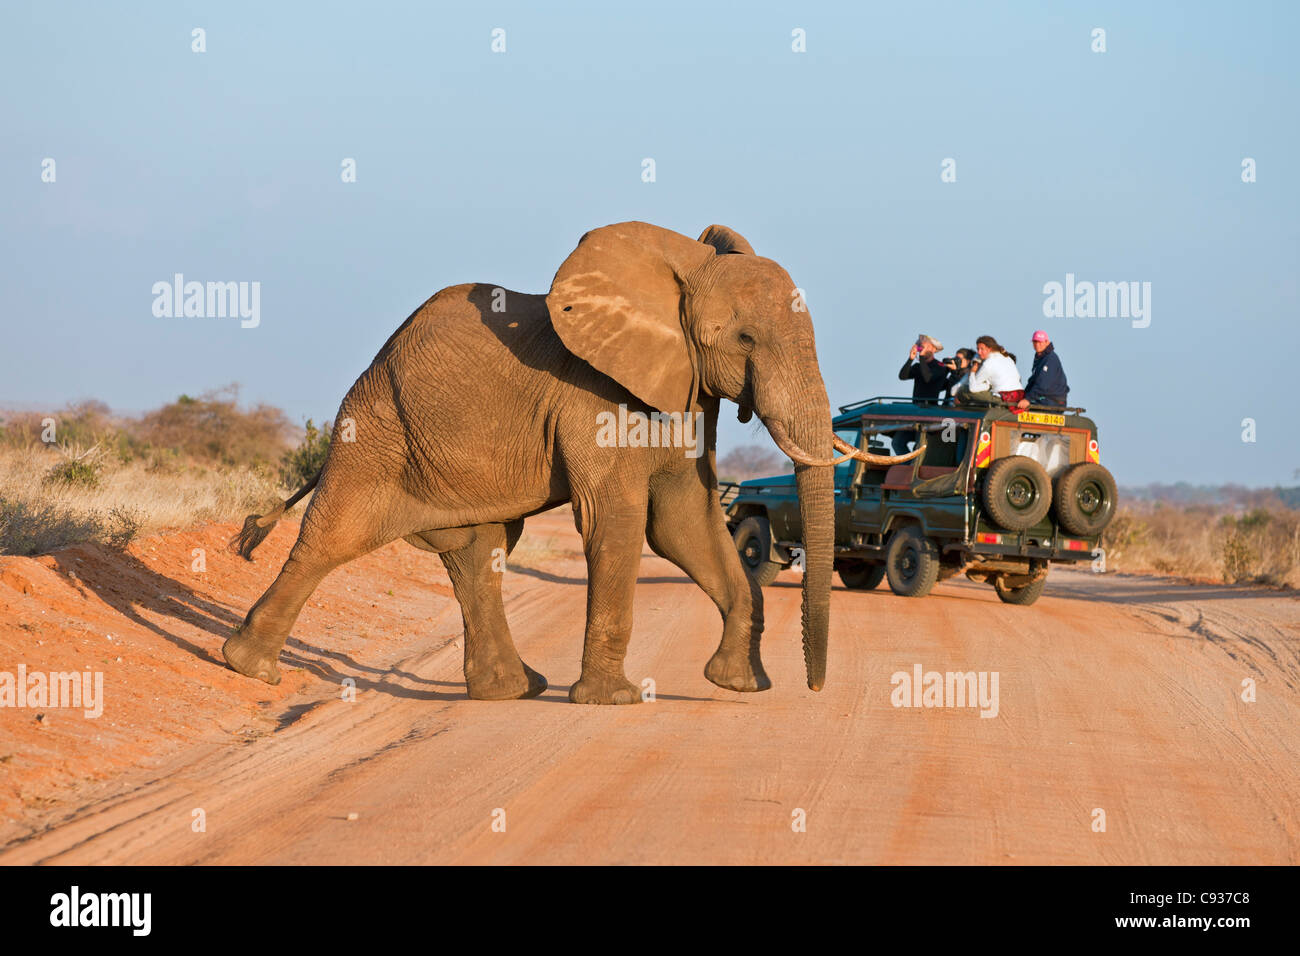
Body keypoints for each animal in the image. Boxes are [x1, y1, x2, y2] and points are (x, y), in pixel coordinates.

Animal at [223, 221, 911, 704]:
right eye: (745, 339)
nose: (814, 688)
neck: (680, 269)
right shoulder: (595, 396)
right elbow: (621, 518)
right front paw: (614, 701)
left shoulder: (688, 395)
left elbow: (684, 522)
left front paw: (737, 686)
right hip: (377, 426)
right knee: (335, 536)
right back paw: (246, 667)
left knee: (479, 551)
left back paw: (511, 690)